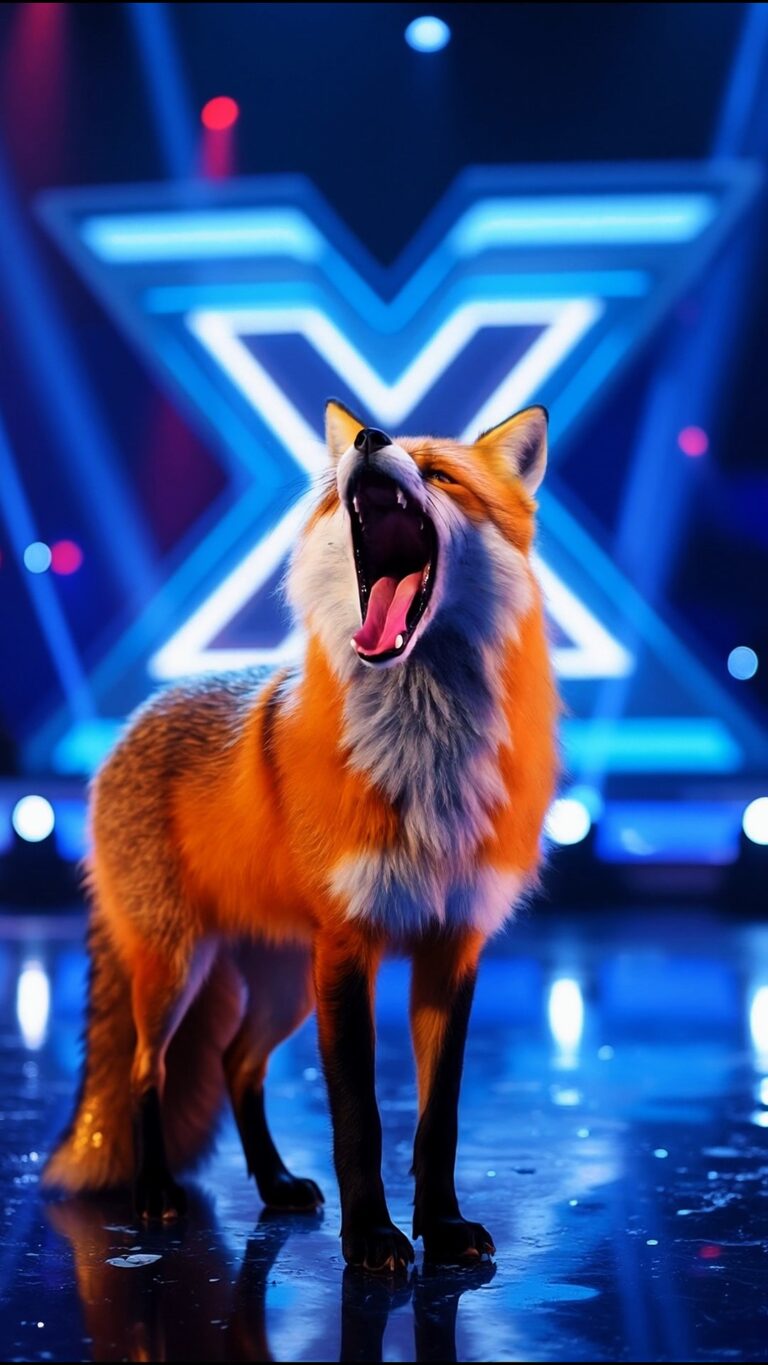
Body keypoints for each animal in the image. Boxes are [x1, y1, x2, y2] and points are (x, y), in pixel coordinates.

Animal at [43, 399, 559, 1272]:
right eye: (375, 449)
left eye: (442, 473)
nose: (368, 439)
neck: (424, 753)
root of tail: (139, 714)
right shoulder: (347, 948)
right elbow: (360, 1120)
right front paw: (374, 1237)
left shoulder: (451, 946)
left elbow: (439, 1121)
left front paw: (442, 1225)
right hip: (176, 964)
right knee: (149, 1069)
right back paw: (154, 1190)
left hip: (283, 982)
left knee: (234, 1063)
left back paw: (276, 1181)